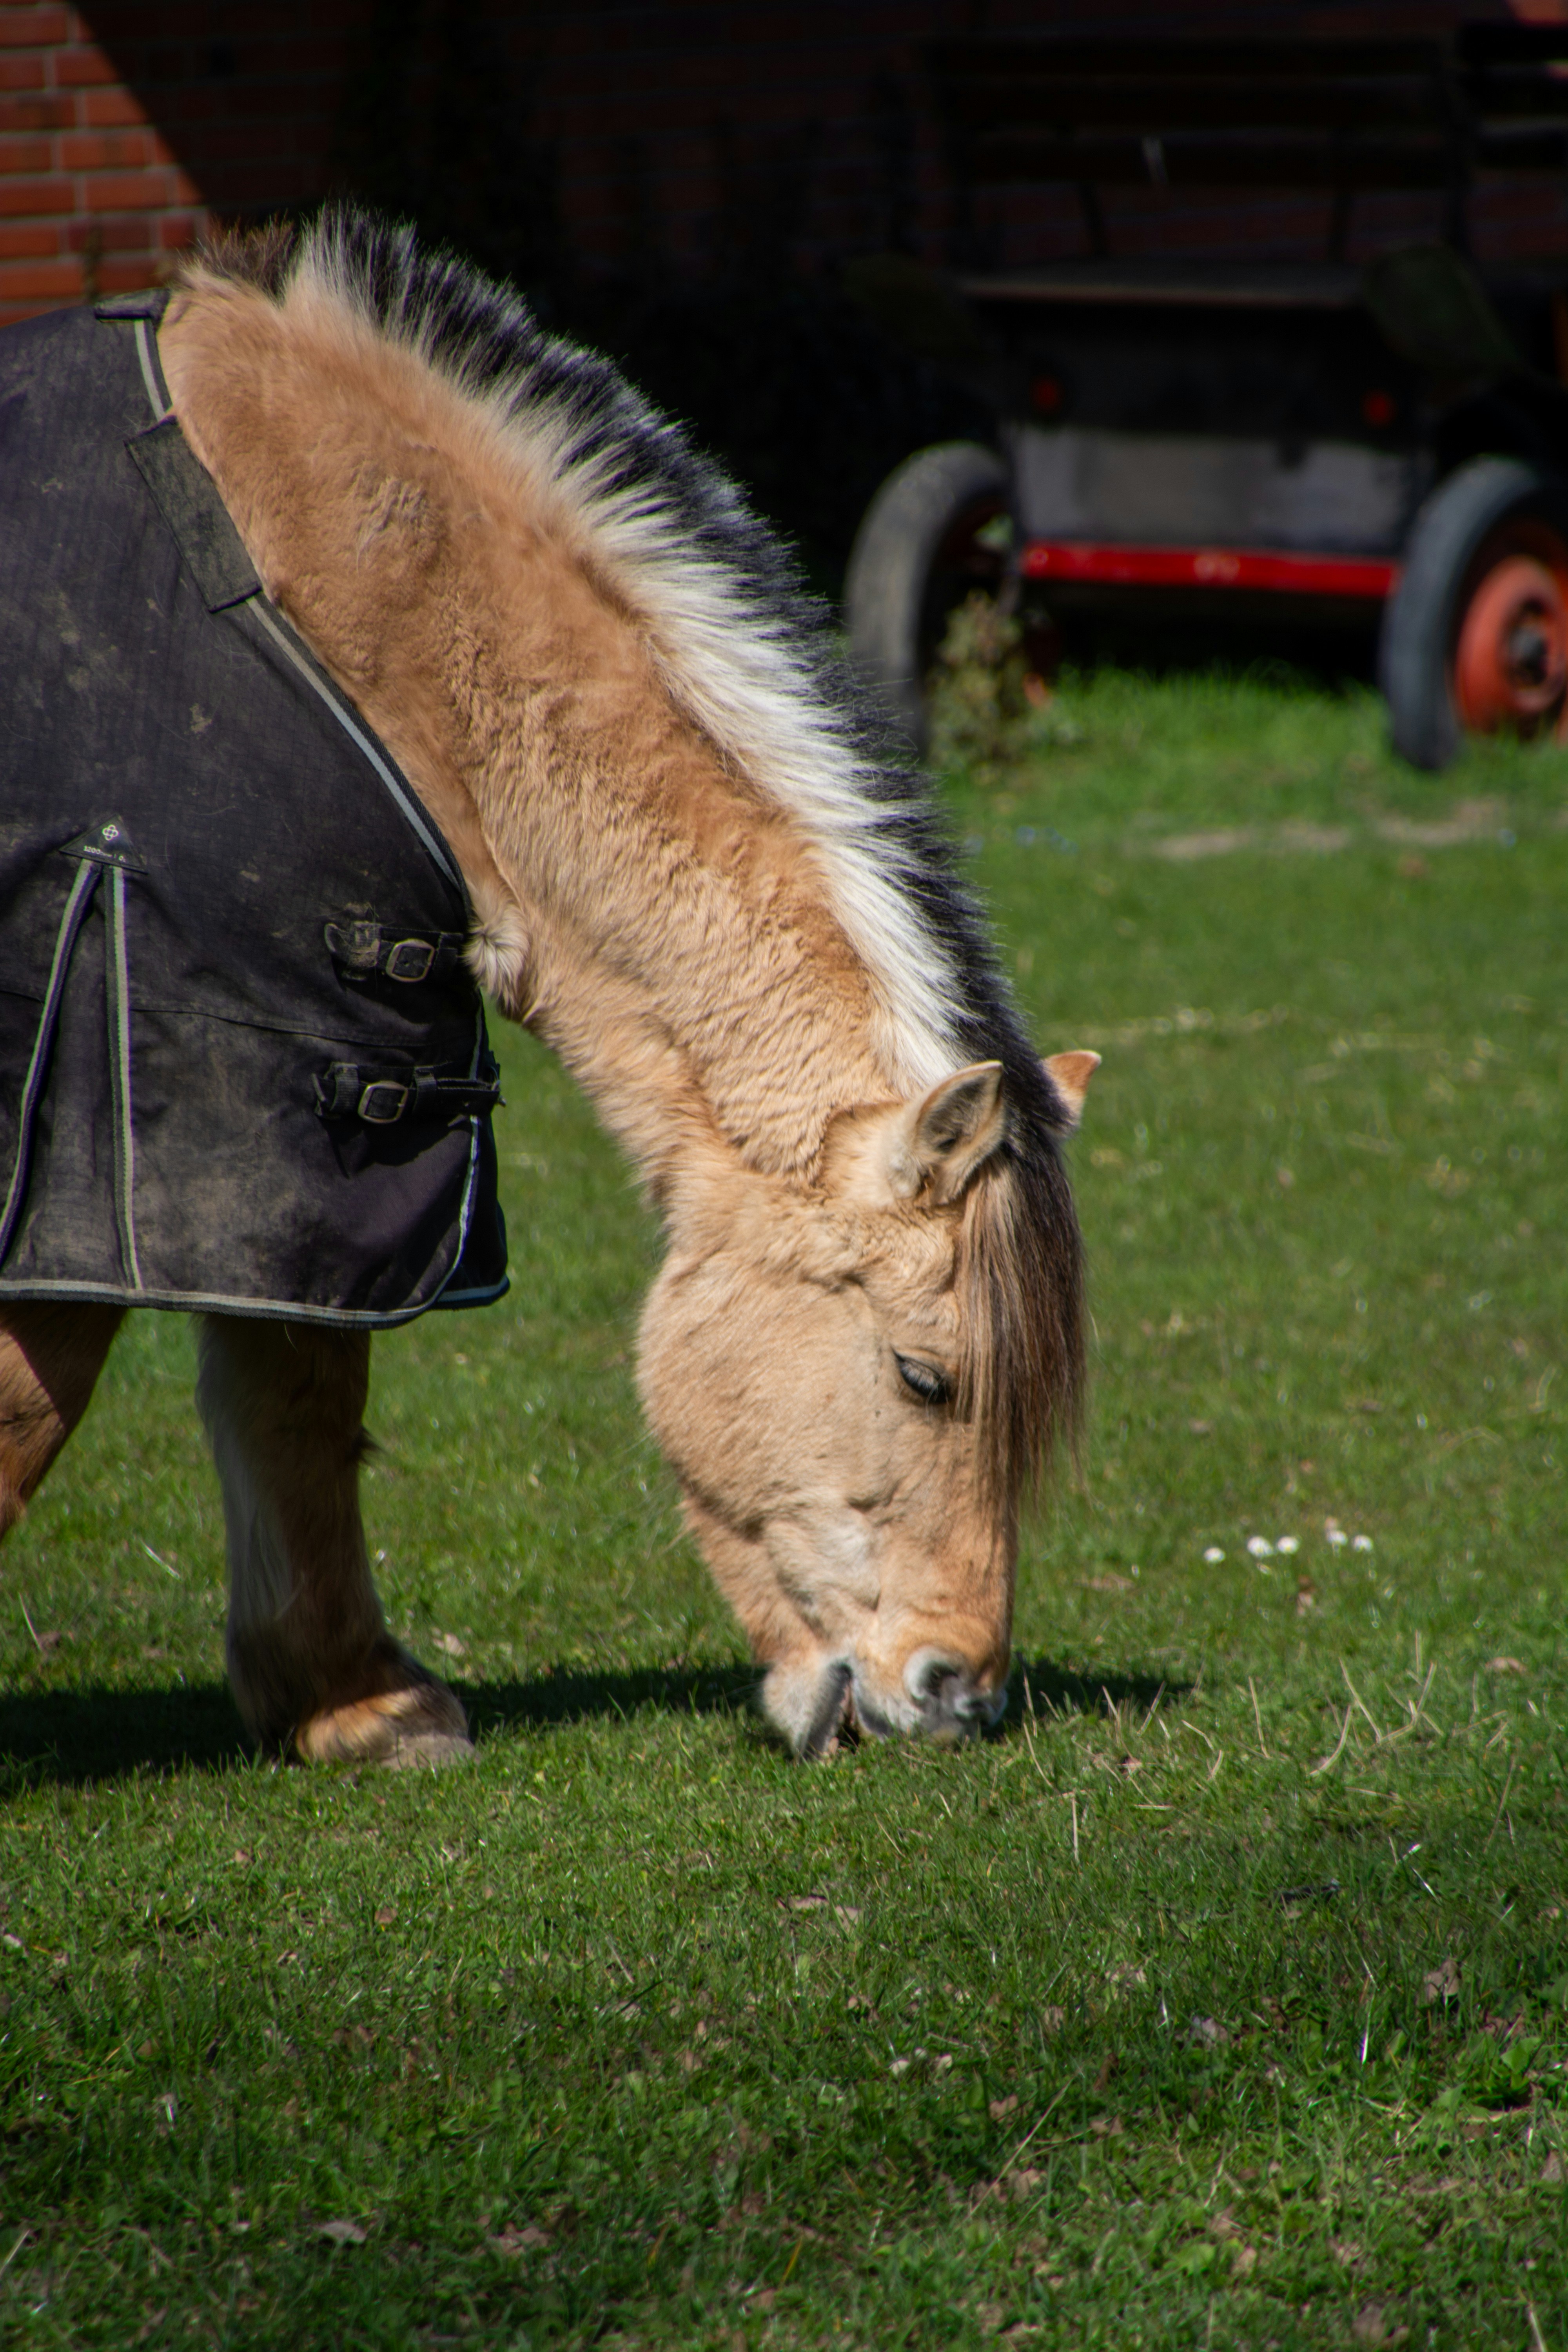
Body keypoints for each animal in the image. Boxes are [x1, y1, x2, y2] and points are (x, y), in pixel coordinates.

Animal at [0, 212, 1093, 1765]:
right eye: (925, 1377)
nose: (960, 1690)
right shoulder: (112, 1115)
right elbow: (35, 1398)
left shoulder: (304, 1105)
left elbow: (295, 1380)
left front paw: (352, 1701)